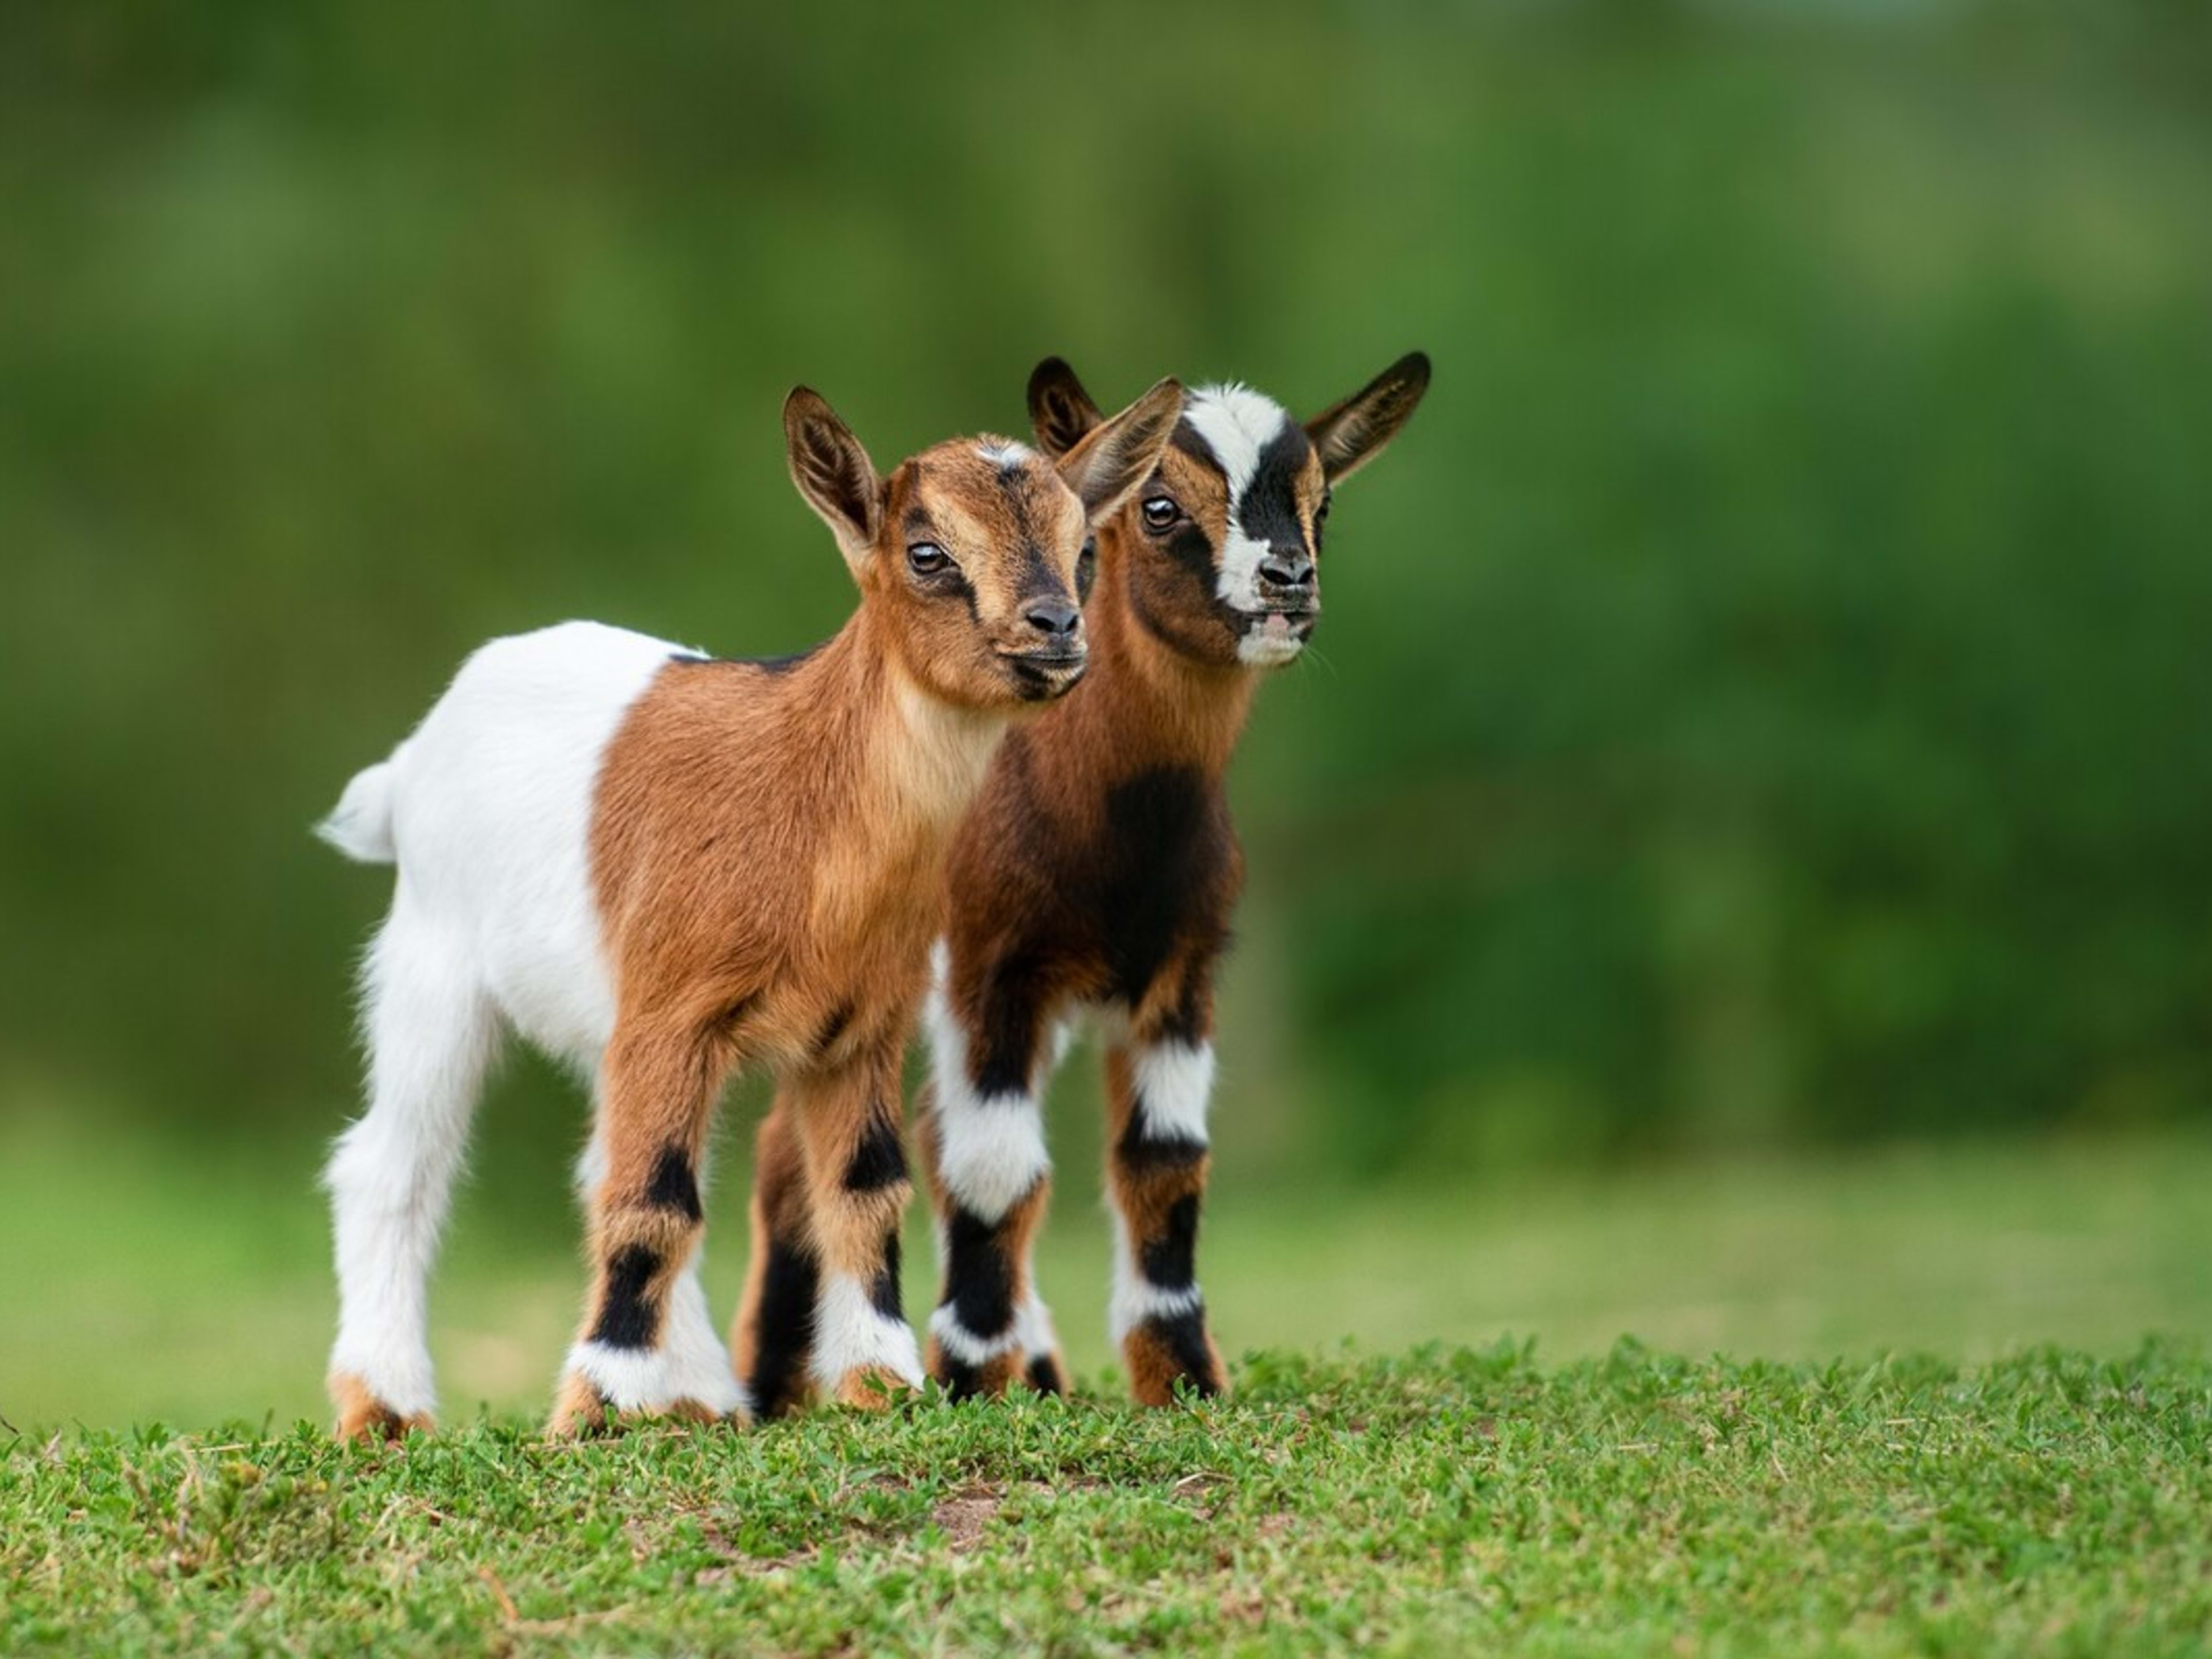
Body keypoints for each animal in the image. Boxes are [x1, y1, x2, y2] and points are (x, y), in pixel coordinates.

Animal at [318, 379, 1184, 1438]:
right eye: (927, 553)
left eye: (1086, 550)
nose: (1056, 627)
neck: (807, 803)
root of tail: (412, 760)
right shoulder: (673, 1012)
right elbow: (656, 1201)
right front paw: (595, 1408)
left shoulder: (860, 1029)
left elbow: (864, 1191)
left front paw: (879, 1381)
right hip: (435, 965)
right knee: (394, 1166)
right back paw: (387, 1409)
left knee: (599, 1165)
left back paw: (693, 1394)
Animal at [737, 355, 1428, 1409]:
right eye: (1159, 506)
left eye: (1324, 502)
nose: (1288, 581)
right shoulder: (989, 969)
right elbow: (994, 1165)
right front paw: (971, 1380)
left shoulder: (1181, 973)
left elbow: (1164, 1161)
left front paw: (1181, 1379)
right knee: (798, 1153)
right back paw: (774, 1393)